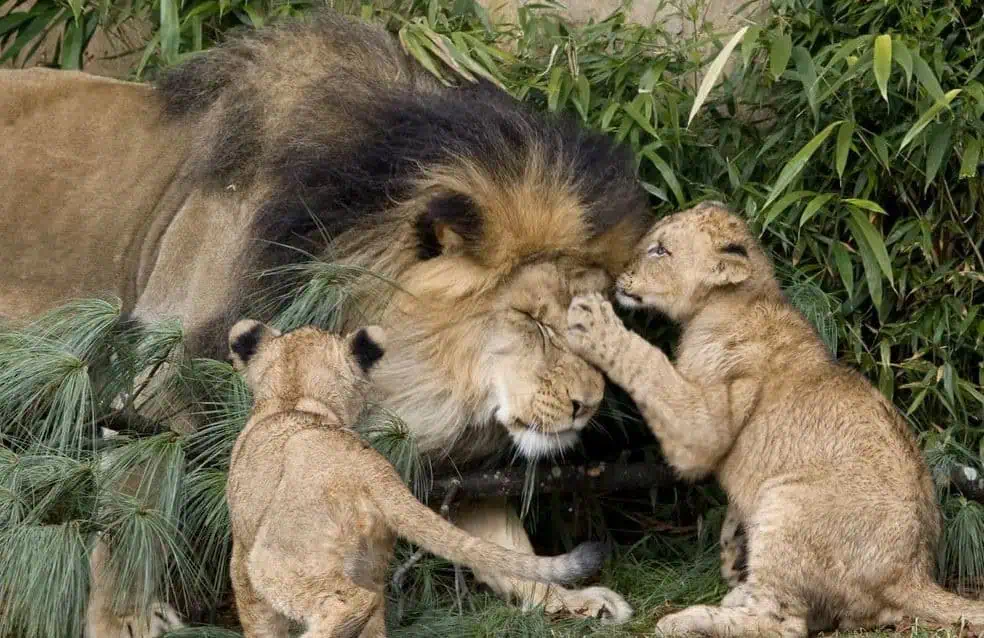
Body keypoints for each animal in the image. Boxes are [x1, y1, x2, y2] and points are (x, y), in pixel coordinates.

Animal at [225, 319, 609, 637]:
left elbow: (260, 624)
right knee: (372, 612)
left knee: (350, 601)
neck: (297, 398)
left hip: (275, 555)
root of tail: (368, 466)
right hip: (368, 562)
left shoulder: (241, 559)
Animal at [563, 201, 984, 636]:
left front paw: (594, 321)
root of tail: (913, 572)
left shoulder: (703, 427)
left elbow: (650, 367)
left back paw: (686, 619)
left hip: (786, 503)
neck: (737, 299)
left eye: (660, 250)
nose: (616, 276)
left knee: (780, 624)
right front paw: (733, 548)